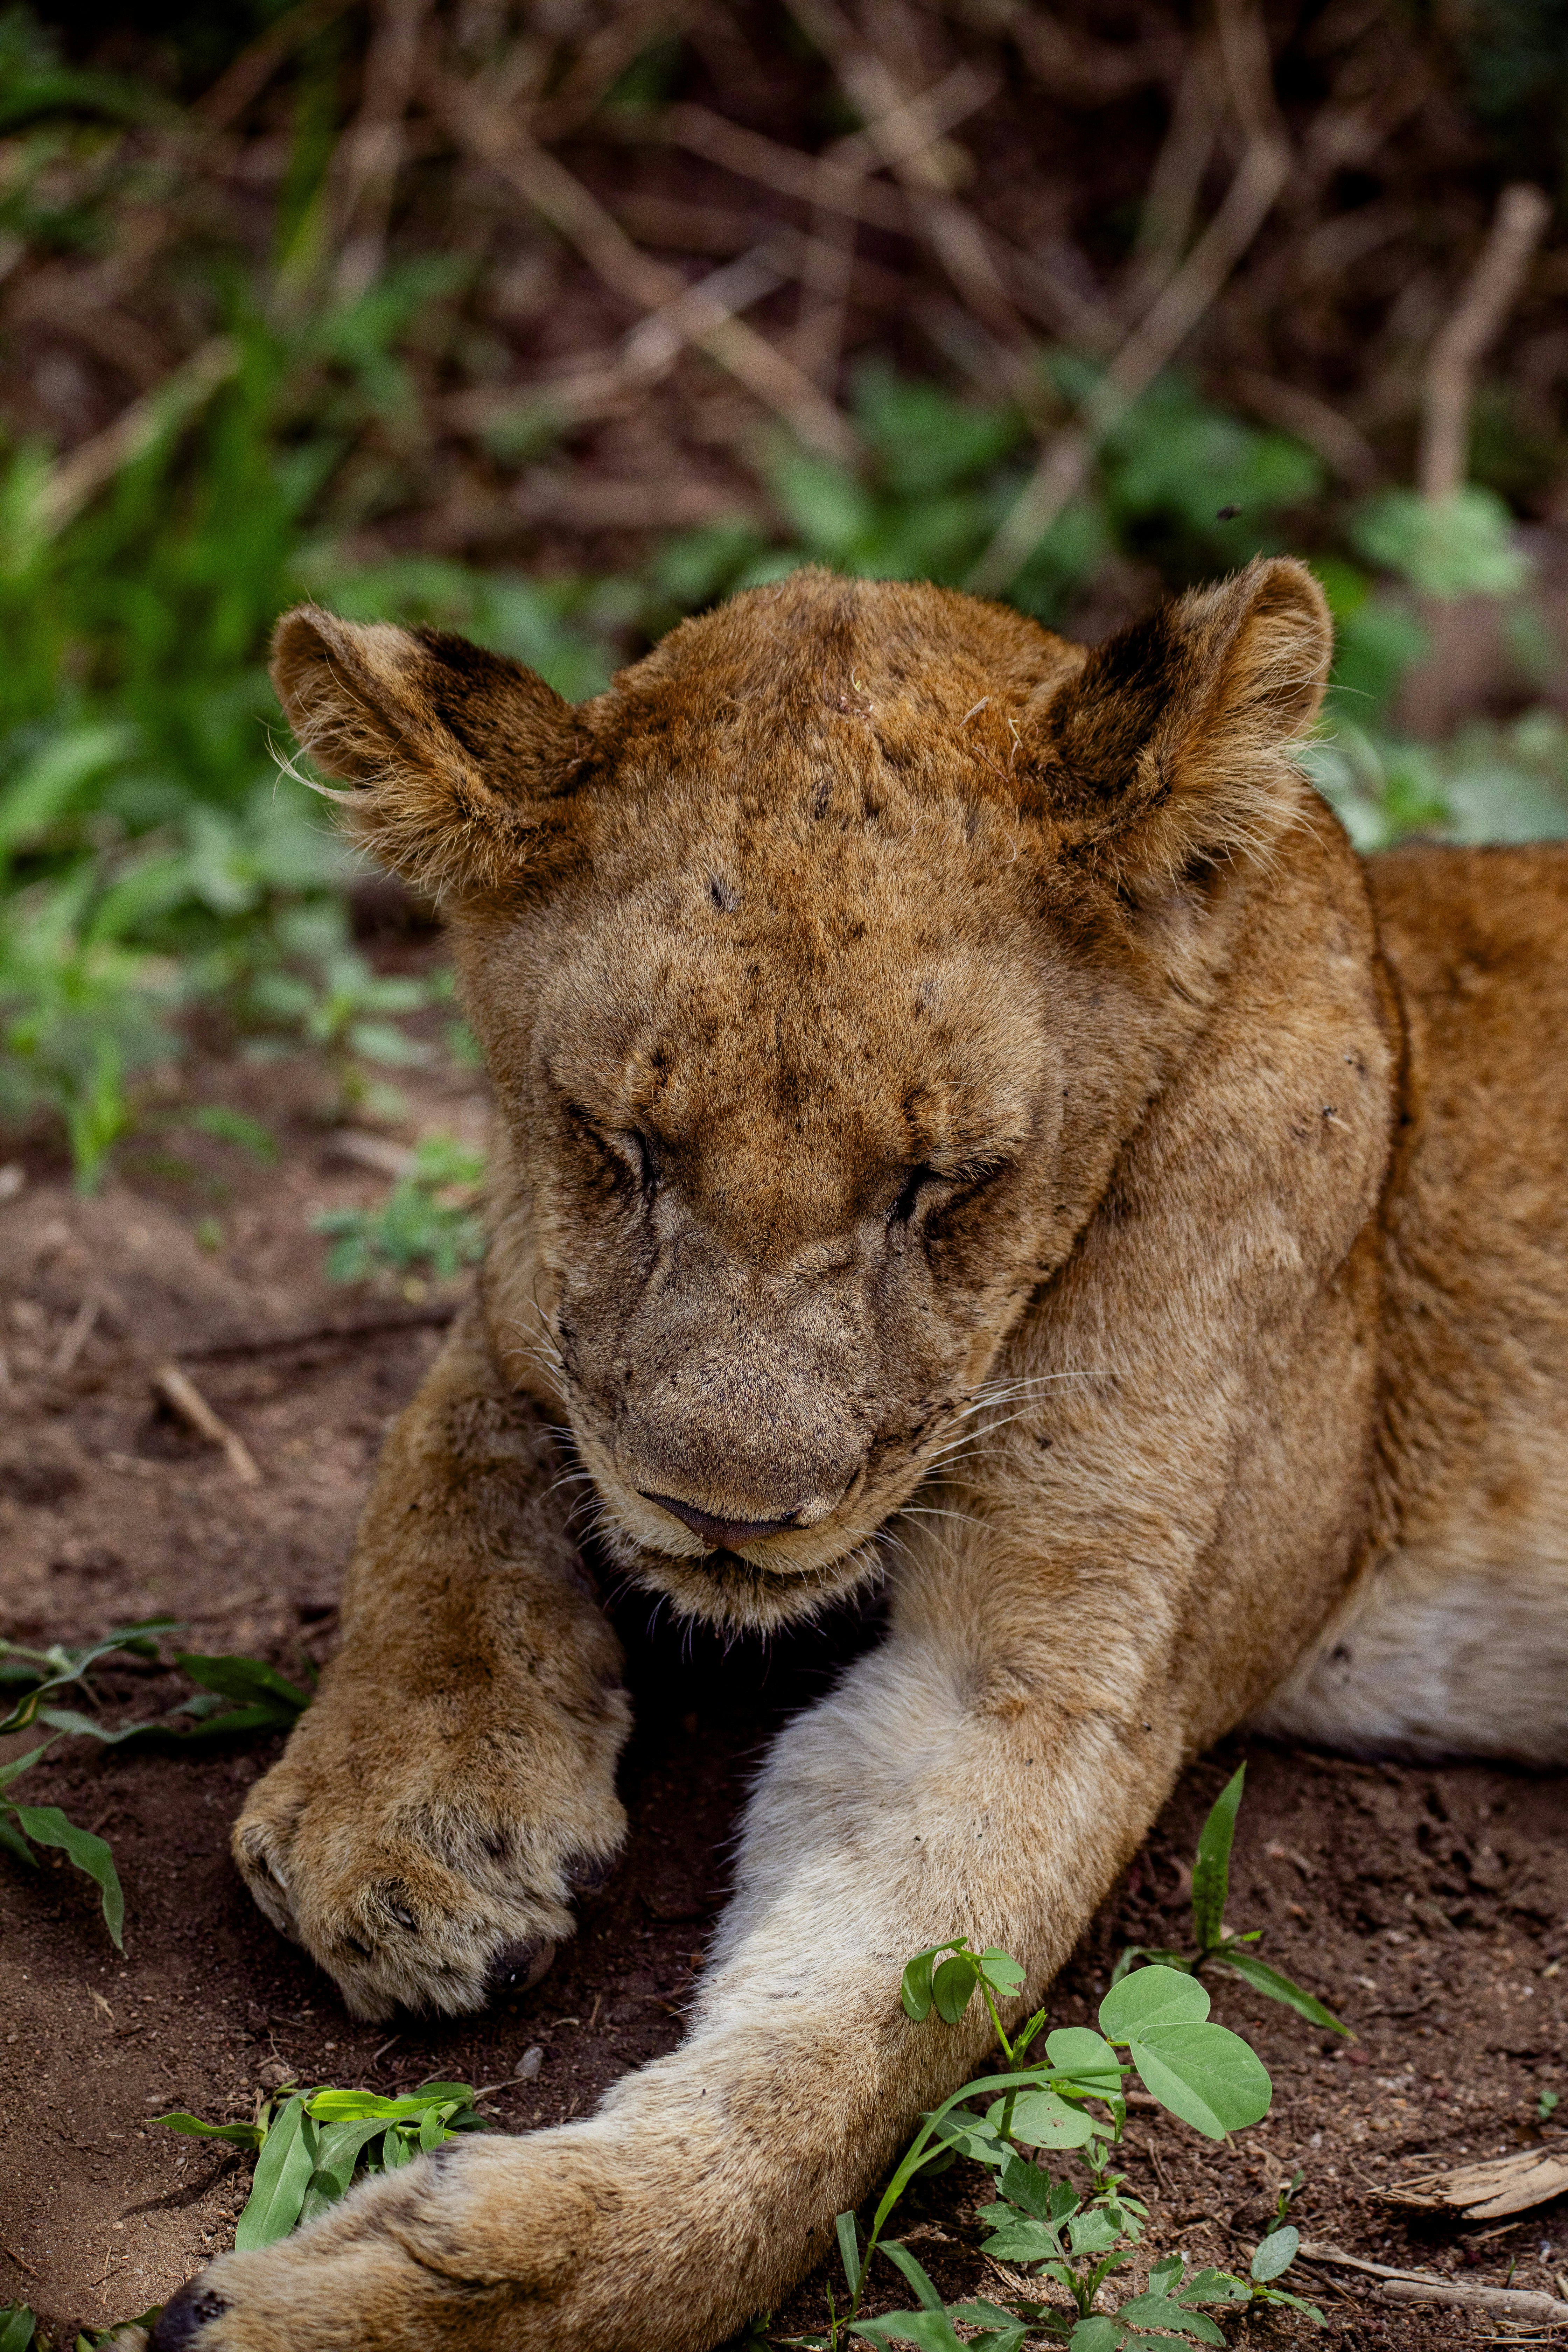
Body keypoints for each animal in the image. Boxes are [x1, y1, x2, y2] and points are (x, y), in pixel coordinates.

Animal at [144, 560, 1568, 2352]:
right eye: (623, 1149)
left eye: (941, 1184)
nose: (727, 1515)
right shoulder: (541, 1324)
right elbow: (440, 1459)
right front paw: (403, 1818)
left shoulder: (1042, 1676)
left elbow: (839, 2064)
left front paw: (427, 2287)